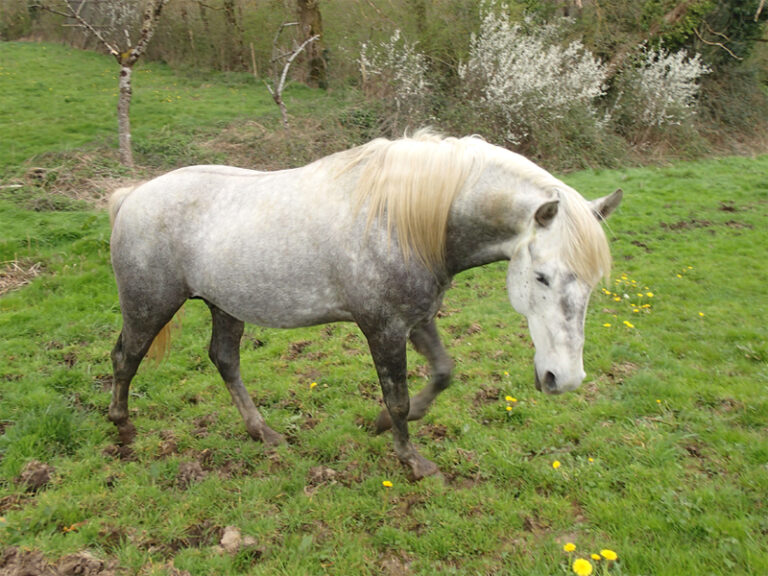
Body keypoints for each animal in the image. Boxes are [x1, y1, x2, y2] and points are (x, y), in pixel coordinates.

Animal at [108, 130, 621, 480]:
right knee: (125, 359)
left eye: (593, 283)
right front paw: (411, 459)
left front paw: (381, 425)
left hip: (225, 305)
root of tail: (130, 197)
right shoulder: (384, 328)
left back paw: (263, 434)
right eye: (541, 276)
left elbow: (442, 372)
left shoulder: (418, 318)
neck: (407, 220)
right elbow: (397, 397)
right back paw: (123, 429)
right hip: (149, 306)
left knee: (224, 360)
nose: (564, 379)